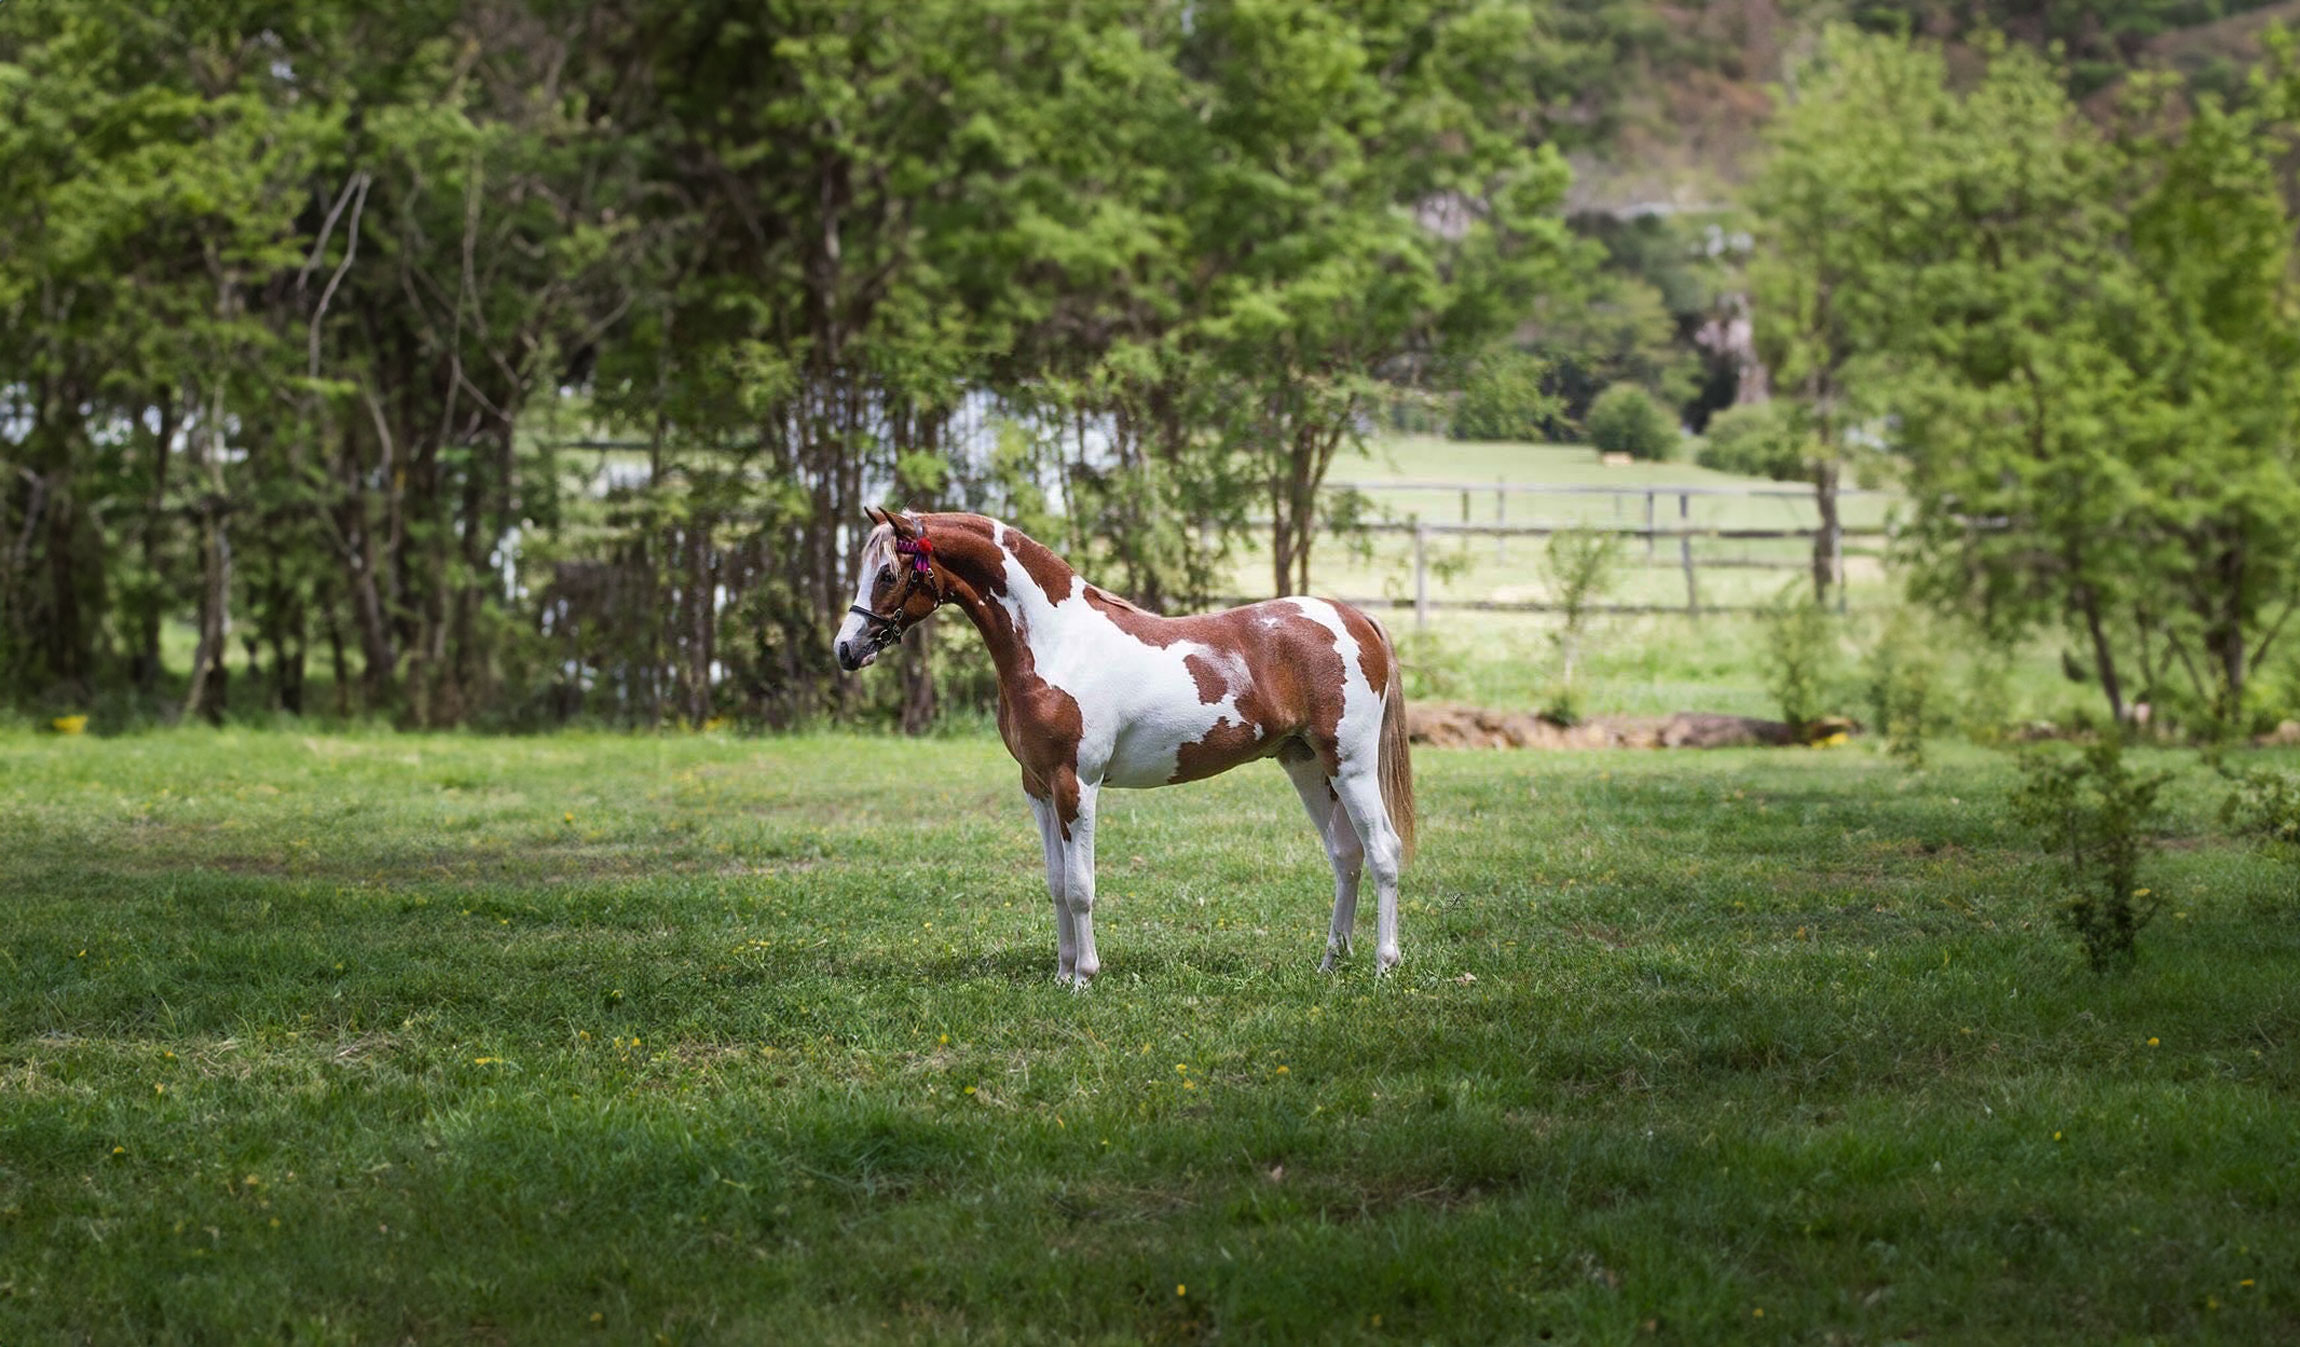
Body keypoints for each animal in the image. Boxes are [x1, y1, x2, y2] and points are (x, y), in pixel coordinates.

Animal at [833, 507, 1416, 986]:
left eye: (888, 573)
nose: (846, 649)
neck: (1056, 642)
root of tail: (1354, 617)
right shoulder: (1037, 787)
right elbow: (1054, 883)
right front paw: (1062, 972)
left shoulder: (1077, 785)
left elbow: (1080, 886)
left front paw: (1085, 977)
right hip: (1307, 765)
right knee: (1345, 856)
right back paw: (1331, 962)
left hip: (1350, 765)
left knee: (1384, 851)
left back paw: (1384, 964)